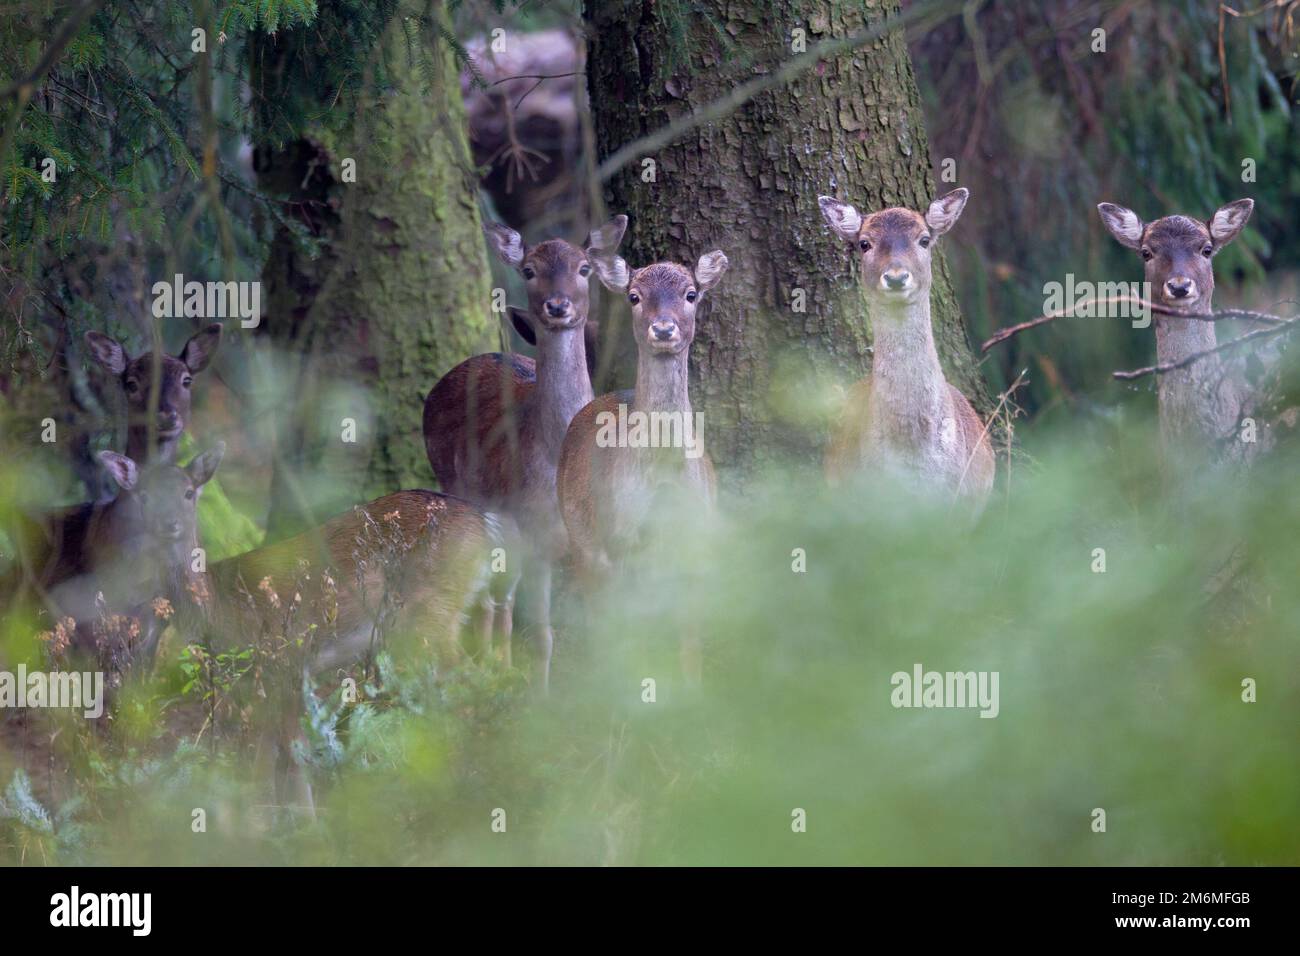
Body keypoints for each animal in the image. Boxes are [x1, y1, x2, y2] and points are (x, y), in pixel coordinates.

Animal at [422, 215, 627, 691]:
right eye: (529, 270)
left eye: (584, 268)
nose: (557, 306)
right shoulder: (535, 528)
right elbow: (544, 633)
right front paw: (541, 698)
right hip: (465, 492)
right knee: (493, 592)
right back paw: (487, 664)